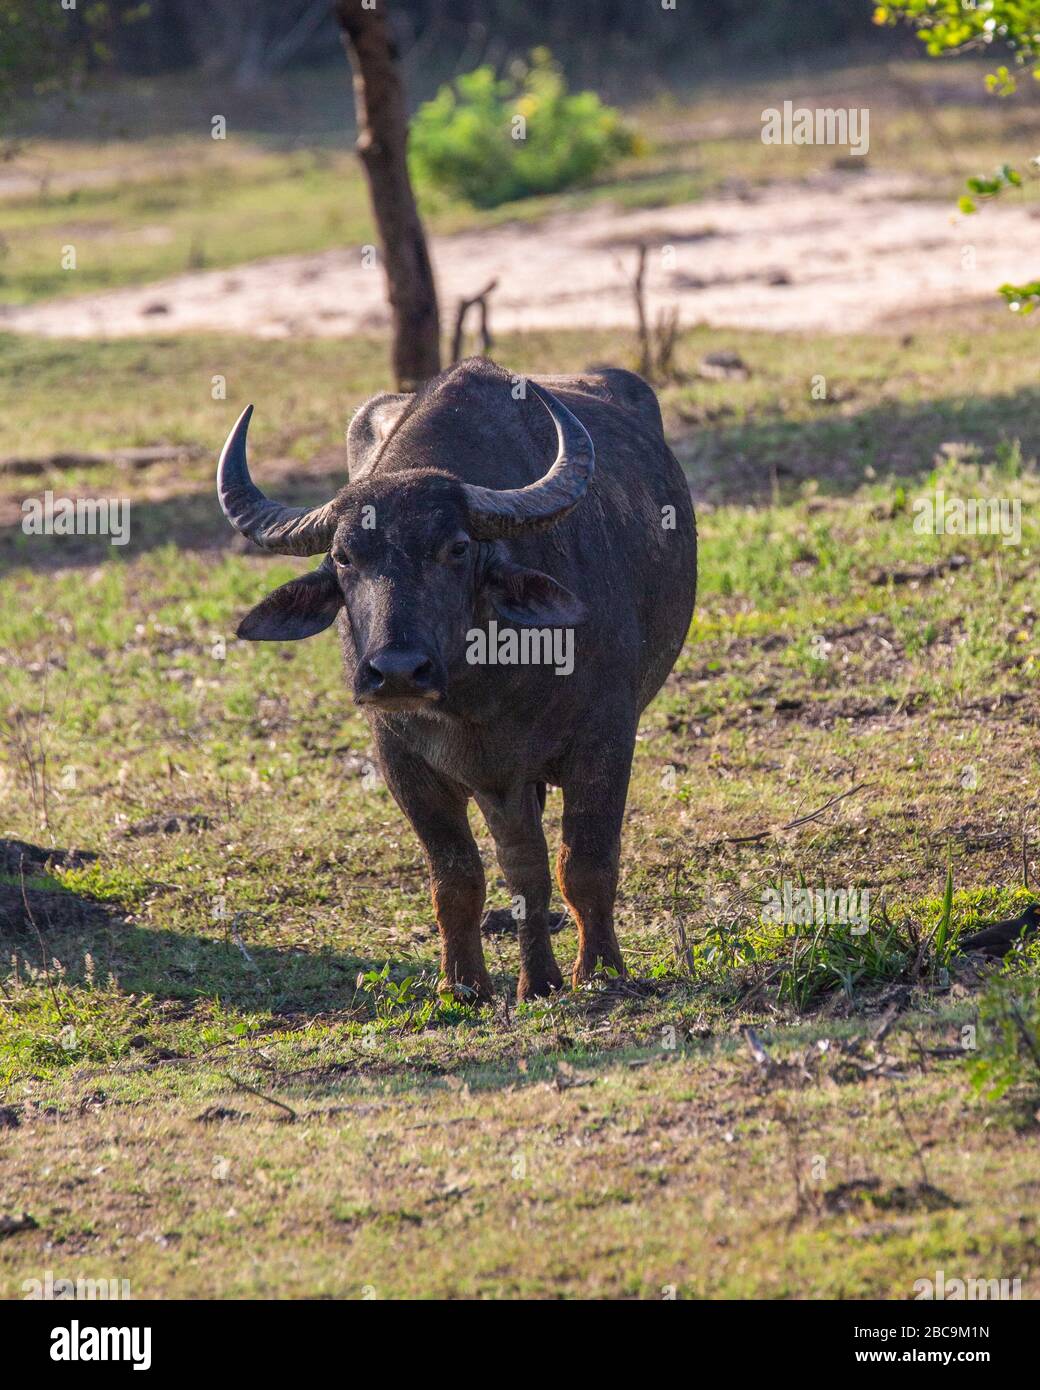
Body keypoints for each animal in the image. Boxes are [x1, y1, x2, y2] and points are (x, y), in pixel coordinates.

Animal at [217, 358, 696, 1002]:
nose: (397, 671)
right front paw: (464, 983)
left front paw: (599, 972)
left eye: (458, 548)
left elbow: (585, 863)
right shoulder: (404, 761)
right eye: (343, 556)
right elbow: (458, 876)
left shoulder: (606, 738)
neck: (479, 695)